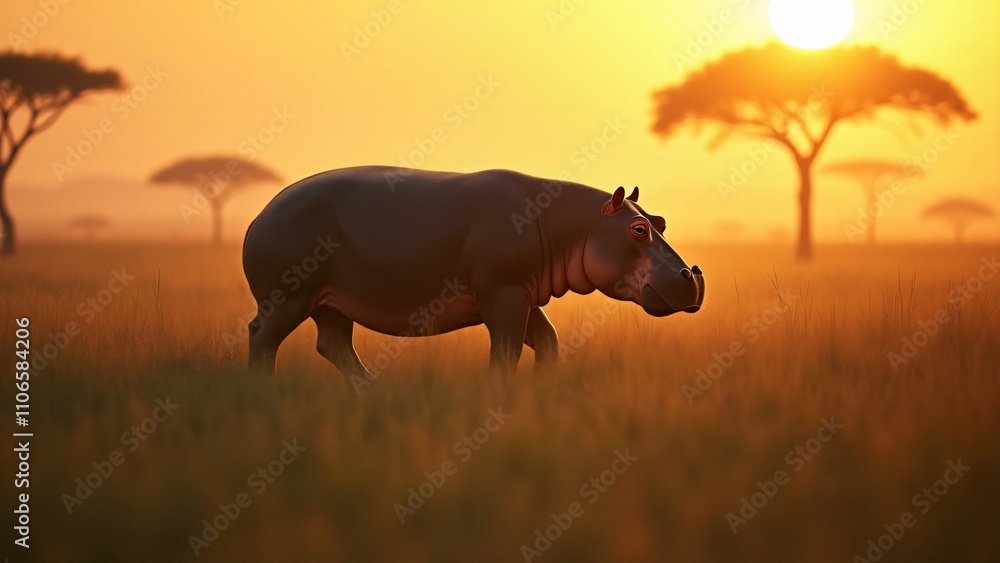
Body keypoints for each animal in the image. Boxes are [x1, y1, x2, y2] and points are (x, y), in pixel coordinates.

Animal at [242, 166, 704, 380]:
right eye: (638, 229)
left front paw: (542, 387)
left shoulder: (523, 294)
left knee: (333, 344)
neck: (574, 225)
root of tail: (260, 213)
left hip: (332, 301)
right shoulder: (504, 294)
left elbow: (547, 340)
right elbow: (506, 351)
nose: (693, 276)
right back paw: (265, 390)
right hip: (289, 297)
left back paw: (372, 390)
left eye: (661, 221)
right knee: (263, 337)